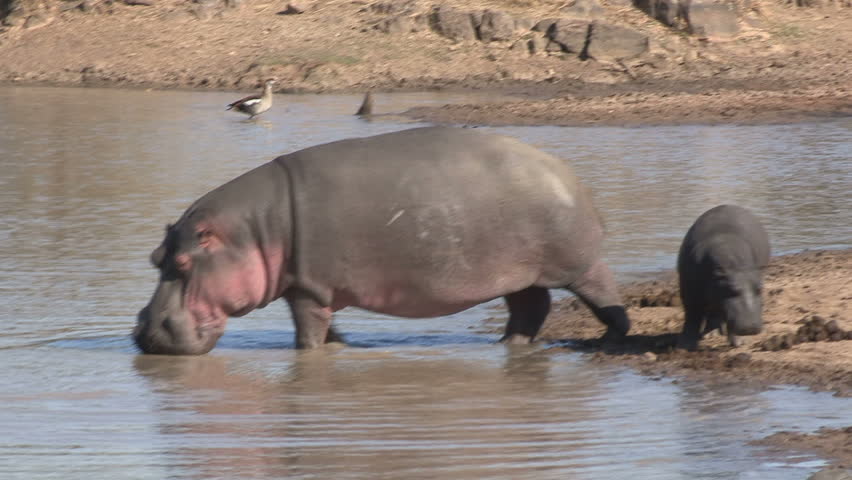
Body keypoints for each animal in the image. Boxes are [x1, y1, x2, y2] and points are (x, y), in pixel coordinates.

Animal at [134, 126, 630, 355]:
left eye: (183, 264)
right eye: (155, 257)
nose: (143, 331)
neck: (254, 230)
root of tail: (565, 172)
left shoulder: (308, 288)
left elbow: (307, 335)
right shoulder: (310, 288)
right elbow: (326, 328)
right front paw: (341, 347)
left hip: (574, 264)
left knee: (603, 291)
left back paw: (610, 340)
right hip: (520, 274)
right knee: (531, 308)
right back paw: (507, 346)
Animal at [677, 205, 771, 350]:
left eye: (759, 289)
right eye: (732, 290)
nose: (750, 327)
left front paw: (738, 343)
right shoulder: (690, 292)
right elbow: (692, 316)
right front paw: (685, 344)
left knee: (716, 314)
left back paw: (714, 333)